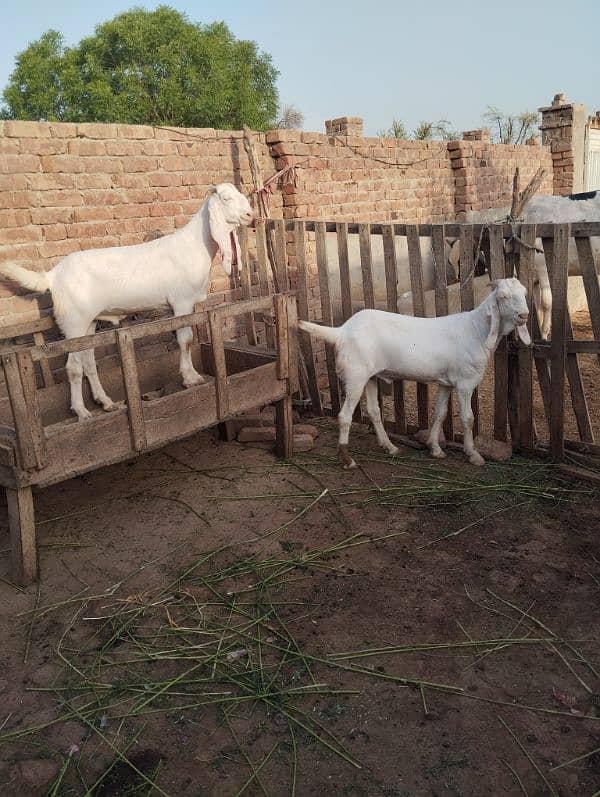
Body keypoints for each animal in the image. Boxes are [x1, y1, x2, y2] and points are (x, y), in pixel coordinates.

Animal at [0, 183, 254, 420]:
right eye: (226, 198)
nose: (250, 215)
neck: (194, 245)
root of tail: (52, 276)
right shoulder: (181, 302)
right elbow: (185, 340)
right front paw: (191, 378)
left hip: (89, 323)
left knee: (88, 361)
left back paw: (106, 402)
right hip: (73, 323)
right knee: (73, 367)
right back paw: (81, 411)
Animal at [298, 277, 530, 468]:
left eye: (525, 294)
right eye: (504, 297)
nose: (524, 315)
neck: (477, 330)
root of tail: (342, 331)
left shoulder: (446, 382)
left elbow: (440, 413)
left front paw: (435, 449)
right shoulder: (465, 383)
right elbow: (468, 418)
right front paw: (473, 455)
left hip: (370, 376)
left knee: (373, 411)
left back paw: (390, 447)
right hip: (356, 375)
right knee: (344, 415)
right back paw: (348, 460)